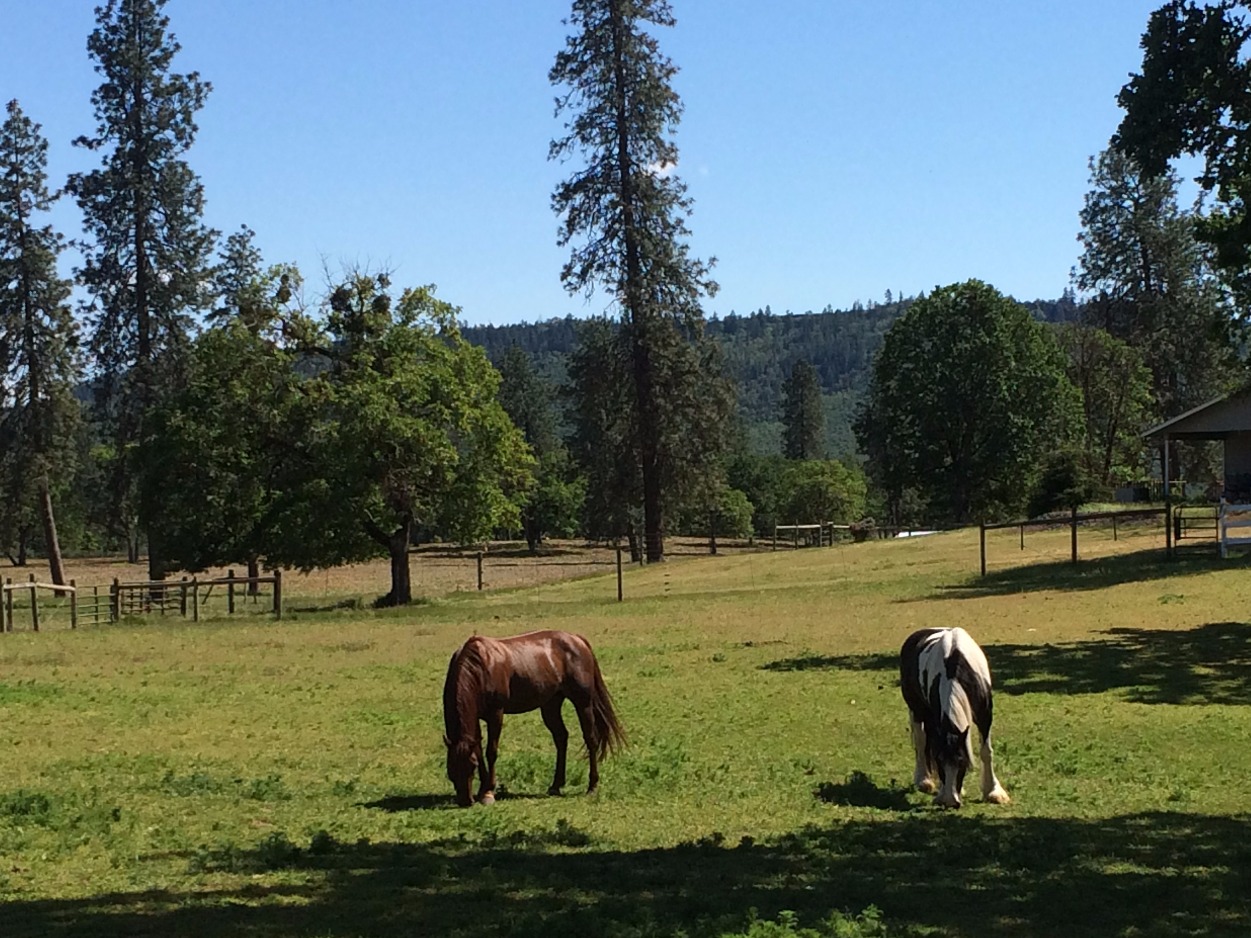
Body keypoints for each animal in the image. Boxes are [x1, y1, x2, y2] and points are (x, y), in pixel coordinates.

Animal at [442, 629, 626, 807]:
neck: (479, 667)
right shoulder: (476, 717)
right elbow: (479, 751)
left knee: (591, 739)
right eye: (450, 767)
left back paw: (592, 786)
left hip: (583, 703)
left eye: (471, 766)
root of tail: (577, 639)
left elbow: (491, 752)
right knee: (561, 738)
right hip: (551, 705)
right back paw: (556, 785)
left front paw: (488, 793)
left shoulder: (496, 714)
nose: (465, 801)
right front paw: (482, 790)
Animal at [899, 627, 1010, 808]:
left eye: (962, 761)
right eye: (939, 761)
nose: (949, 802)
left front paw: (993, 792)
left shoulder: (985, 715)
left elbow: (986, 751)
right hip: (917, 710)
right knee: (921, 742)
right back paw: (923, 780)